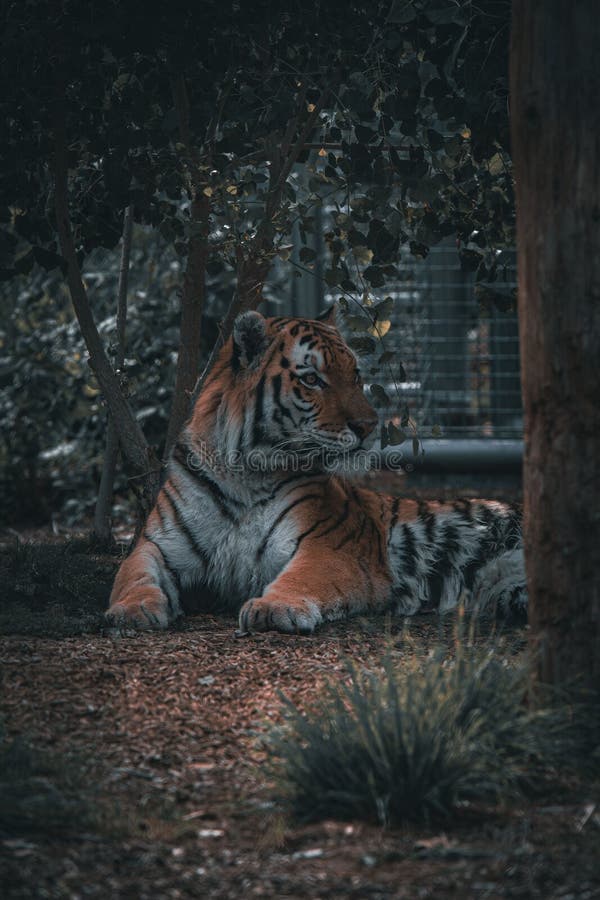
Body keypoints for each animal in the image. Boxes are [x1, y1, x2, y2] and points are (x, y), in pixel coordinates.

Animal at [106, 308, 527, 633]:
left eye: (356, 375)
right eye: (312, 379)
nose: (369, 426)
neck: (242, 475)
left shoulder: (331, 543)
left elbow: (304, 574)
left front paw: (277, 607)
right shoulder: (158, 543)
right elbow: (132, 573)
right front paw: (131, 610)